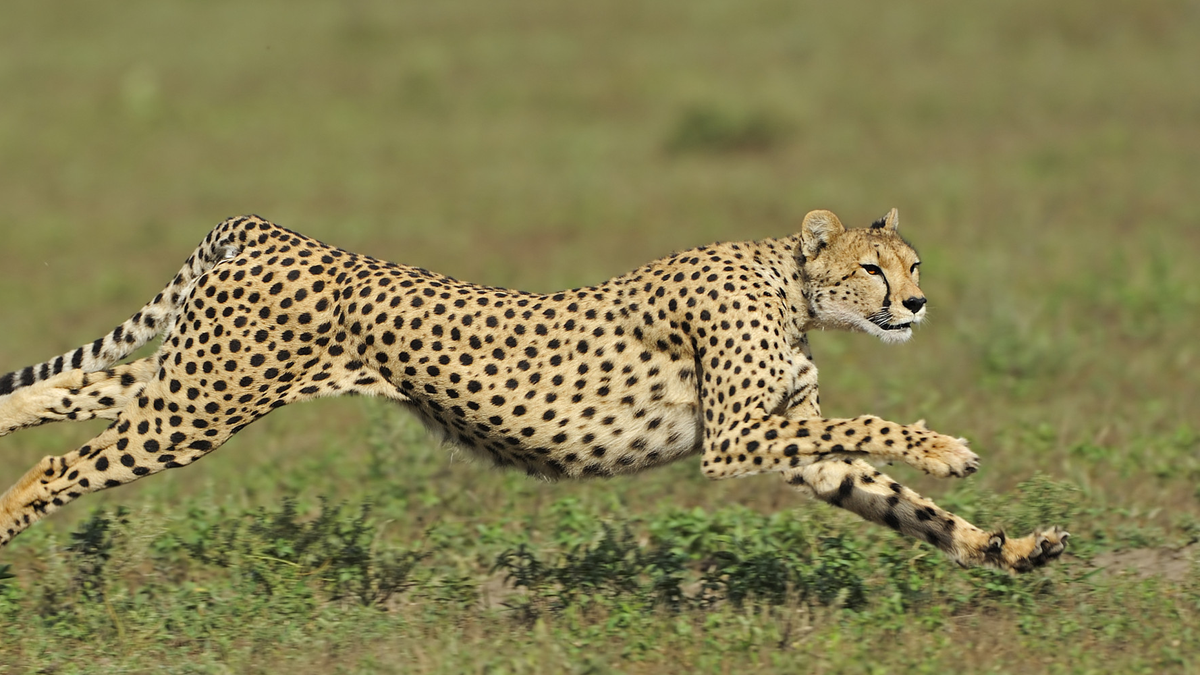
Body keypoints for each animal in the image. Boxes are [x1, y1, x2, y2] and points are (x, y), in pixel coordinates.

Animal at [0, 209, 1068, 572]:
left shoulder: (793, 447)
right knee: (60, 461)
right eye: (874, 270)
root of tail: (269, 229)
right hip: (200, 405)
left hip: (193, 380)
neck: (790, 284)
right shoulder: (733, 442)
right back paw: (8, 522)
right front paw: (946, 447)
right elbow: (880, 429)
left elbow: (899, 503)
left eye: (914, 263)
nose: (918, 303)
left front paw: (1009, 547)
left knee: (69, 391)